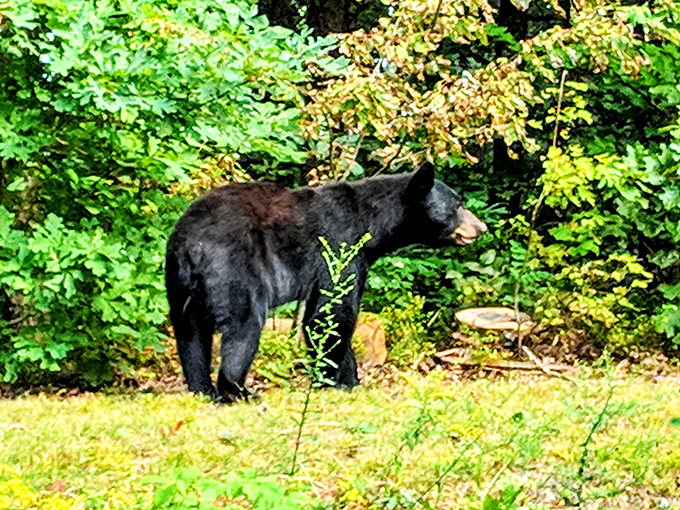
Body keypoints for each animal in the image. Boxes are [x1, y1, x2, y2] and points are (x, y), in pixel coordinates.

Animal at [165, 162, 487, 401]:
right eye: (458, 205)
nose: (481, 227)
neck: (372, 223)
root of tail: (190, 245)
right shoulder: (340, 246)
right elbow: (332, 312)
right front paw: (335, 380)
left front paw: (349, 378)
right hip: (234, 268)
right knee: (243, 328)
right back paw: (237, 390)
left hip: (178, 283)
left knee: (190, 334)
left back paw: (201, 388)